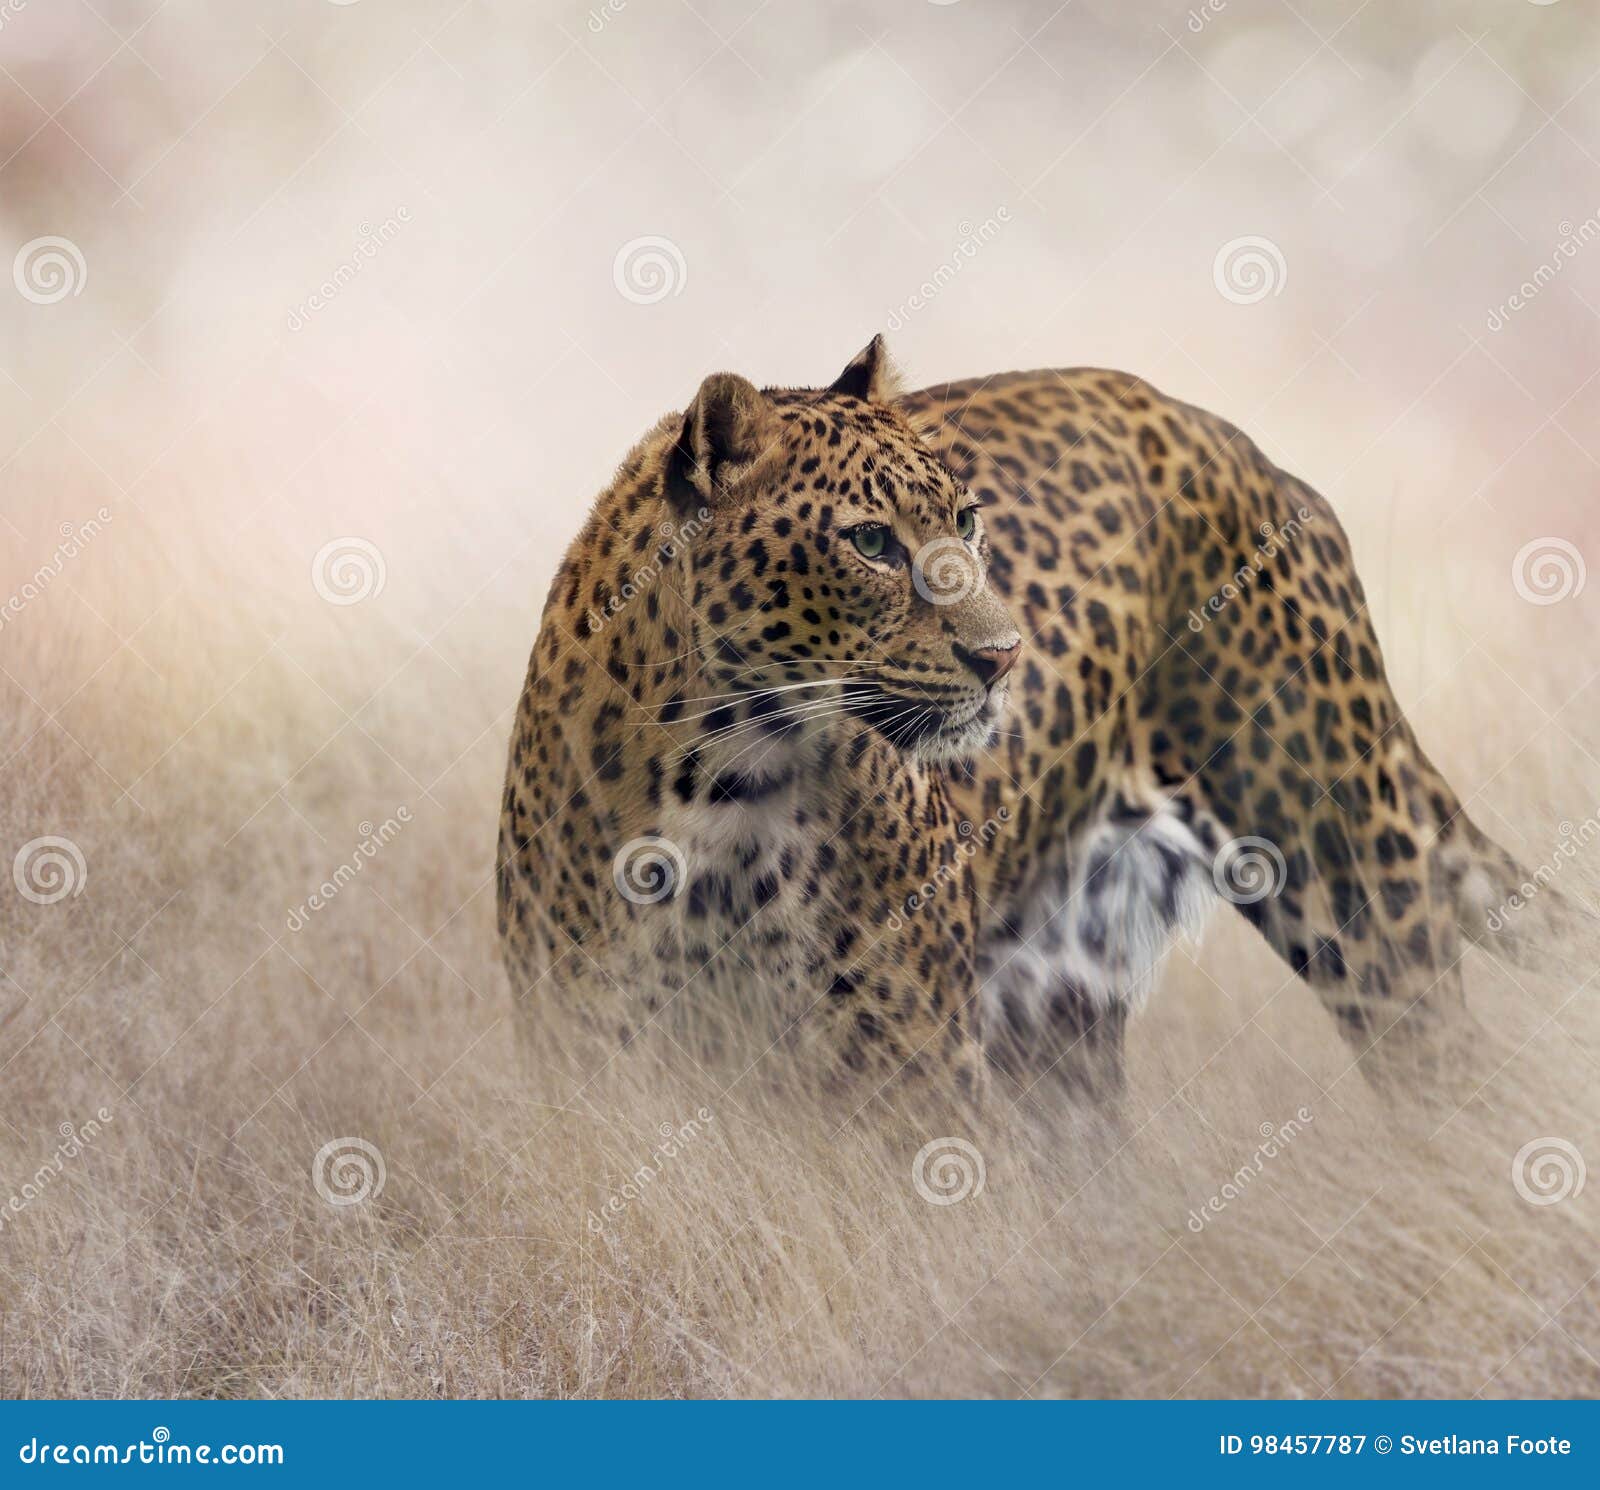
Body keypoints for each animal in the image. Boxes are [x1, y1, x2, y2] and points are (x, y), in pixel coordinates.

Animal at [495, 335, 1565, 1103]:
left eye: (967, 522)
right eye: (872, 543)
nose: (1005, 656)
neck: (725, 773)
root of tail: (1243, 446)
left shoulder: (914, 1071)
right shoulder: (584, 1053)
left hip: (1353, 881)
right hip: (1060, 1015)